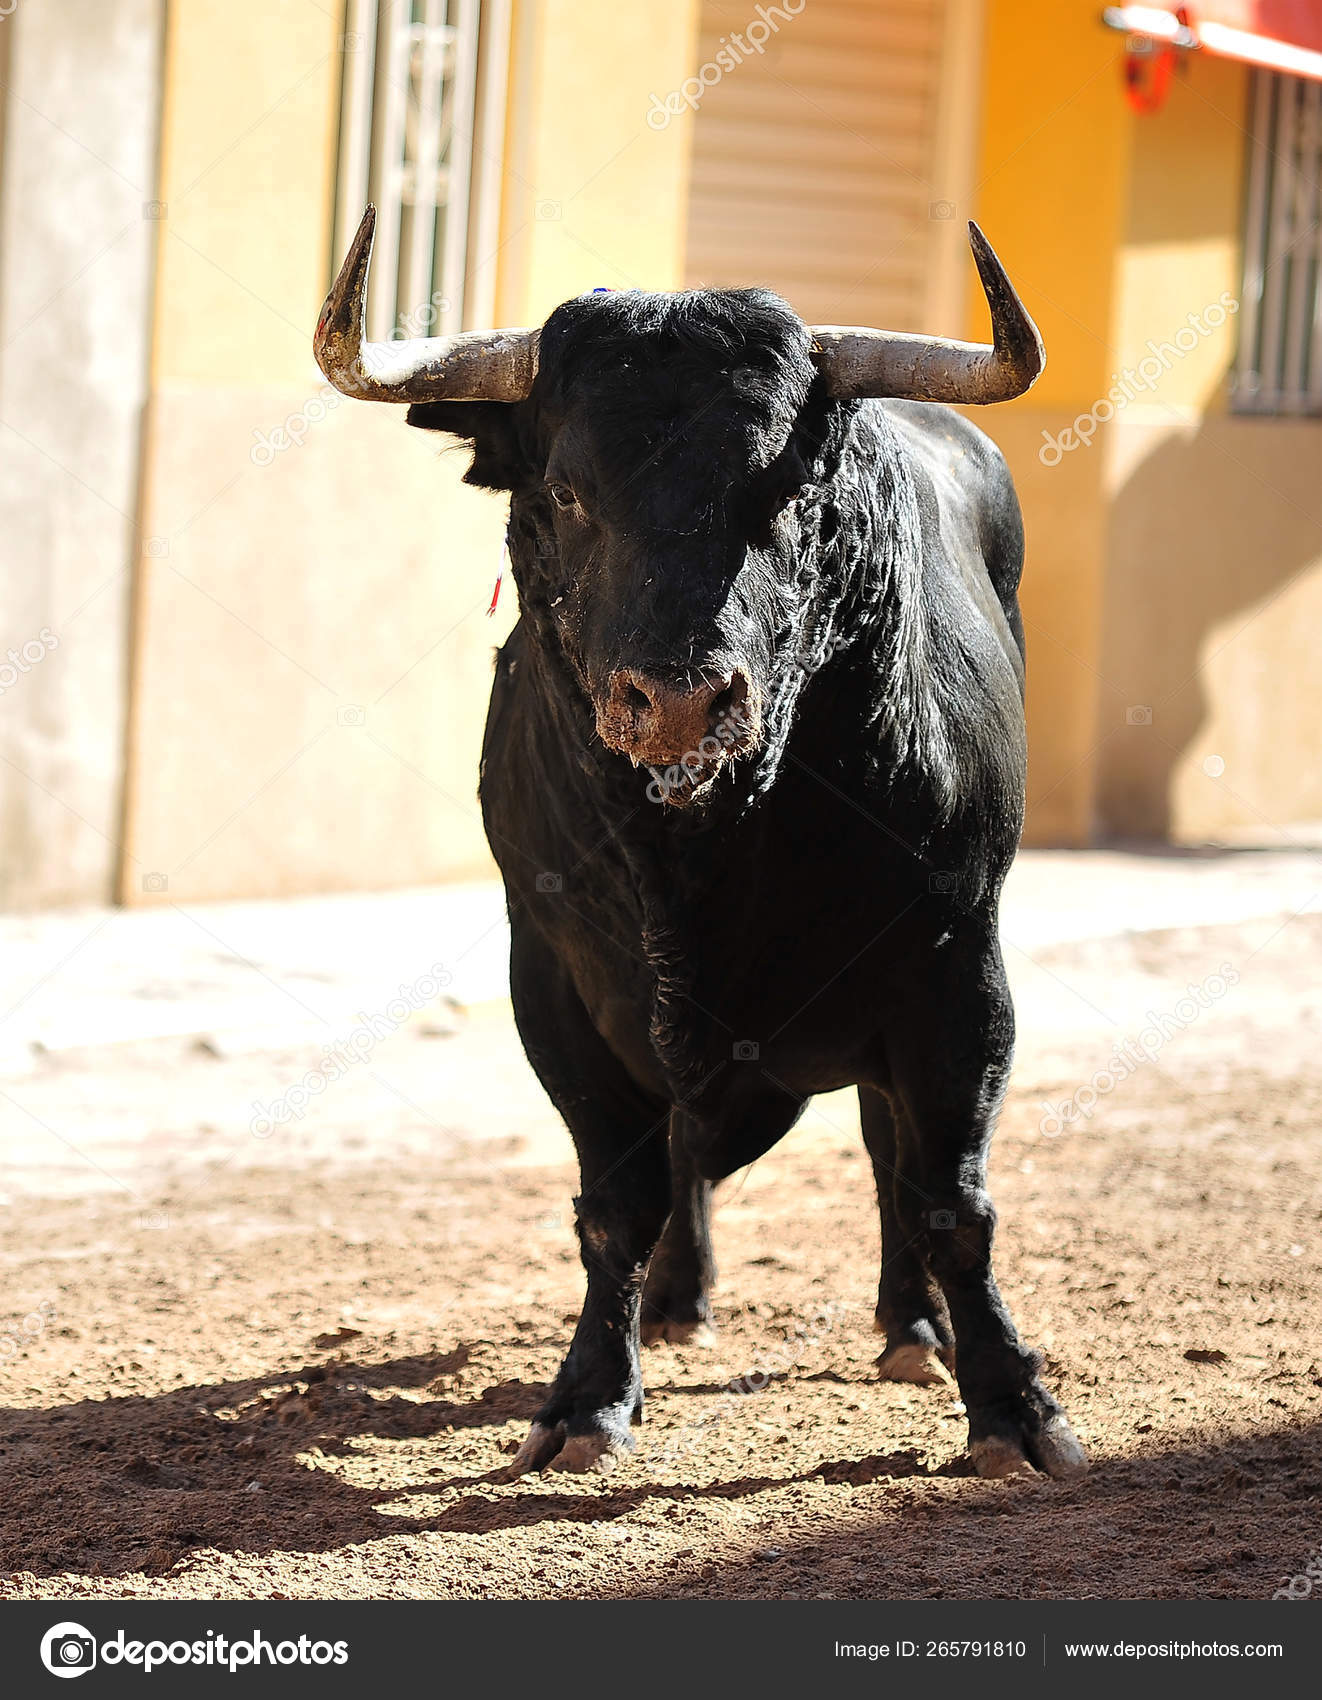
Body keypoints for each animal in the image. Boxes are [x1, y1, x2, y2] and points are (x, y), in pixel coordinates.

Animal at [315, 206, 1088, 1483]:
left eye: (781, 487)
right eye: (566, 490)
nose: (677, 700)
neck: (704, 852)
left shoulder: (953, 964)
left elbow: (948, 1192)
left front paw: (1012, 1402)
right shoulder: (555, 979)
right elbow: (615, 1198)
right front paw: (587, 1393)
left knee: (882, 1144)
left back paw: (908, 1322)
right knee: (686, 1154)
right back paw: (679, 1301)